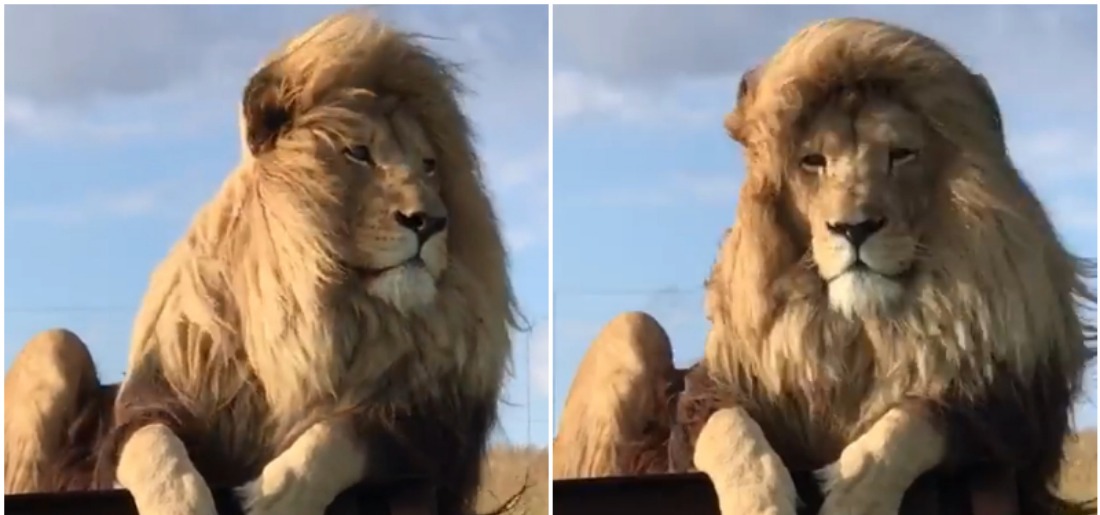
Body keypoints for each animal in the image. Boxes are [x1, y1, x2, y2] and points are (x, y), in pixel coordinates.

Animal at [4, 11, 520, 515]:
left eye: (430, 165)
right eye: (358, 153)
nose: (430, 221)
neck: (319, 308)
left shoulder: (432, 440)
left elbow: (341, 432)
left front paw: (279, 492)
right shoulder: (153, 404)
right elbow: (157, 449)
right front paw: (184, 502)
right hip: (54, 344)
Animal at [553, 17, 1095, 515]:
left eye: (901, 154)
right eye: (813, 161)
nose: (854, 228)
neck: (857, 330)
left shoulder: (1012, 422)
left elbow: (911, 419)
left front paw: (857, 495)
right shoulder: (704, 402)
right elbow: (731, 432)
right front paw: (759, 504)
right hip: (632, 328)